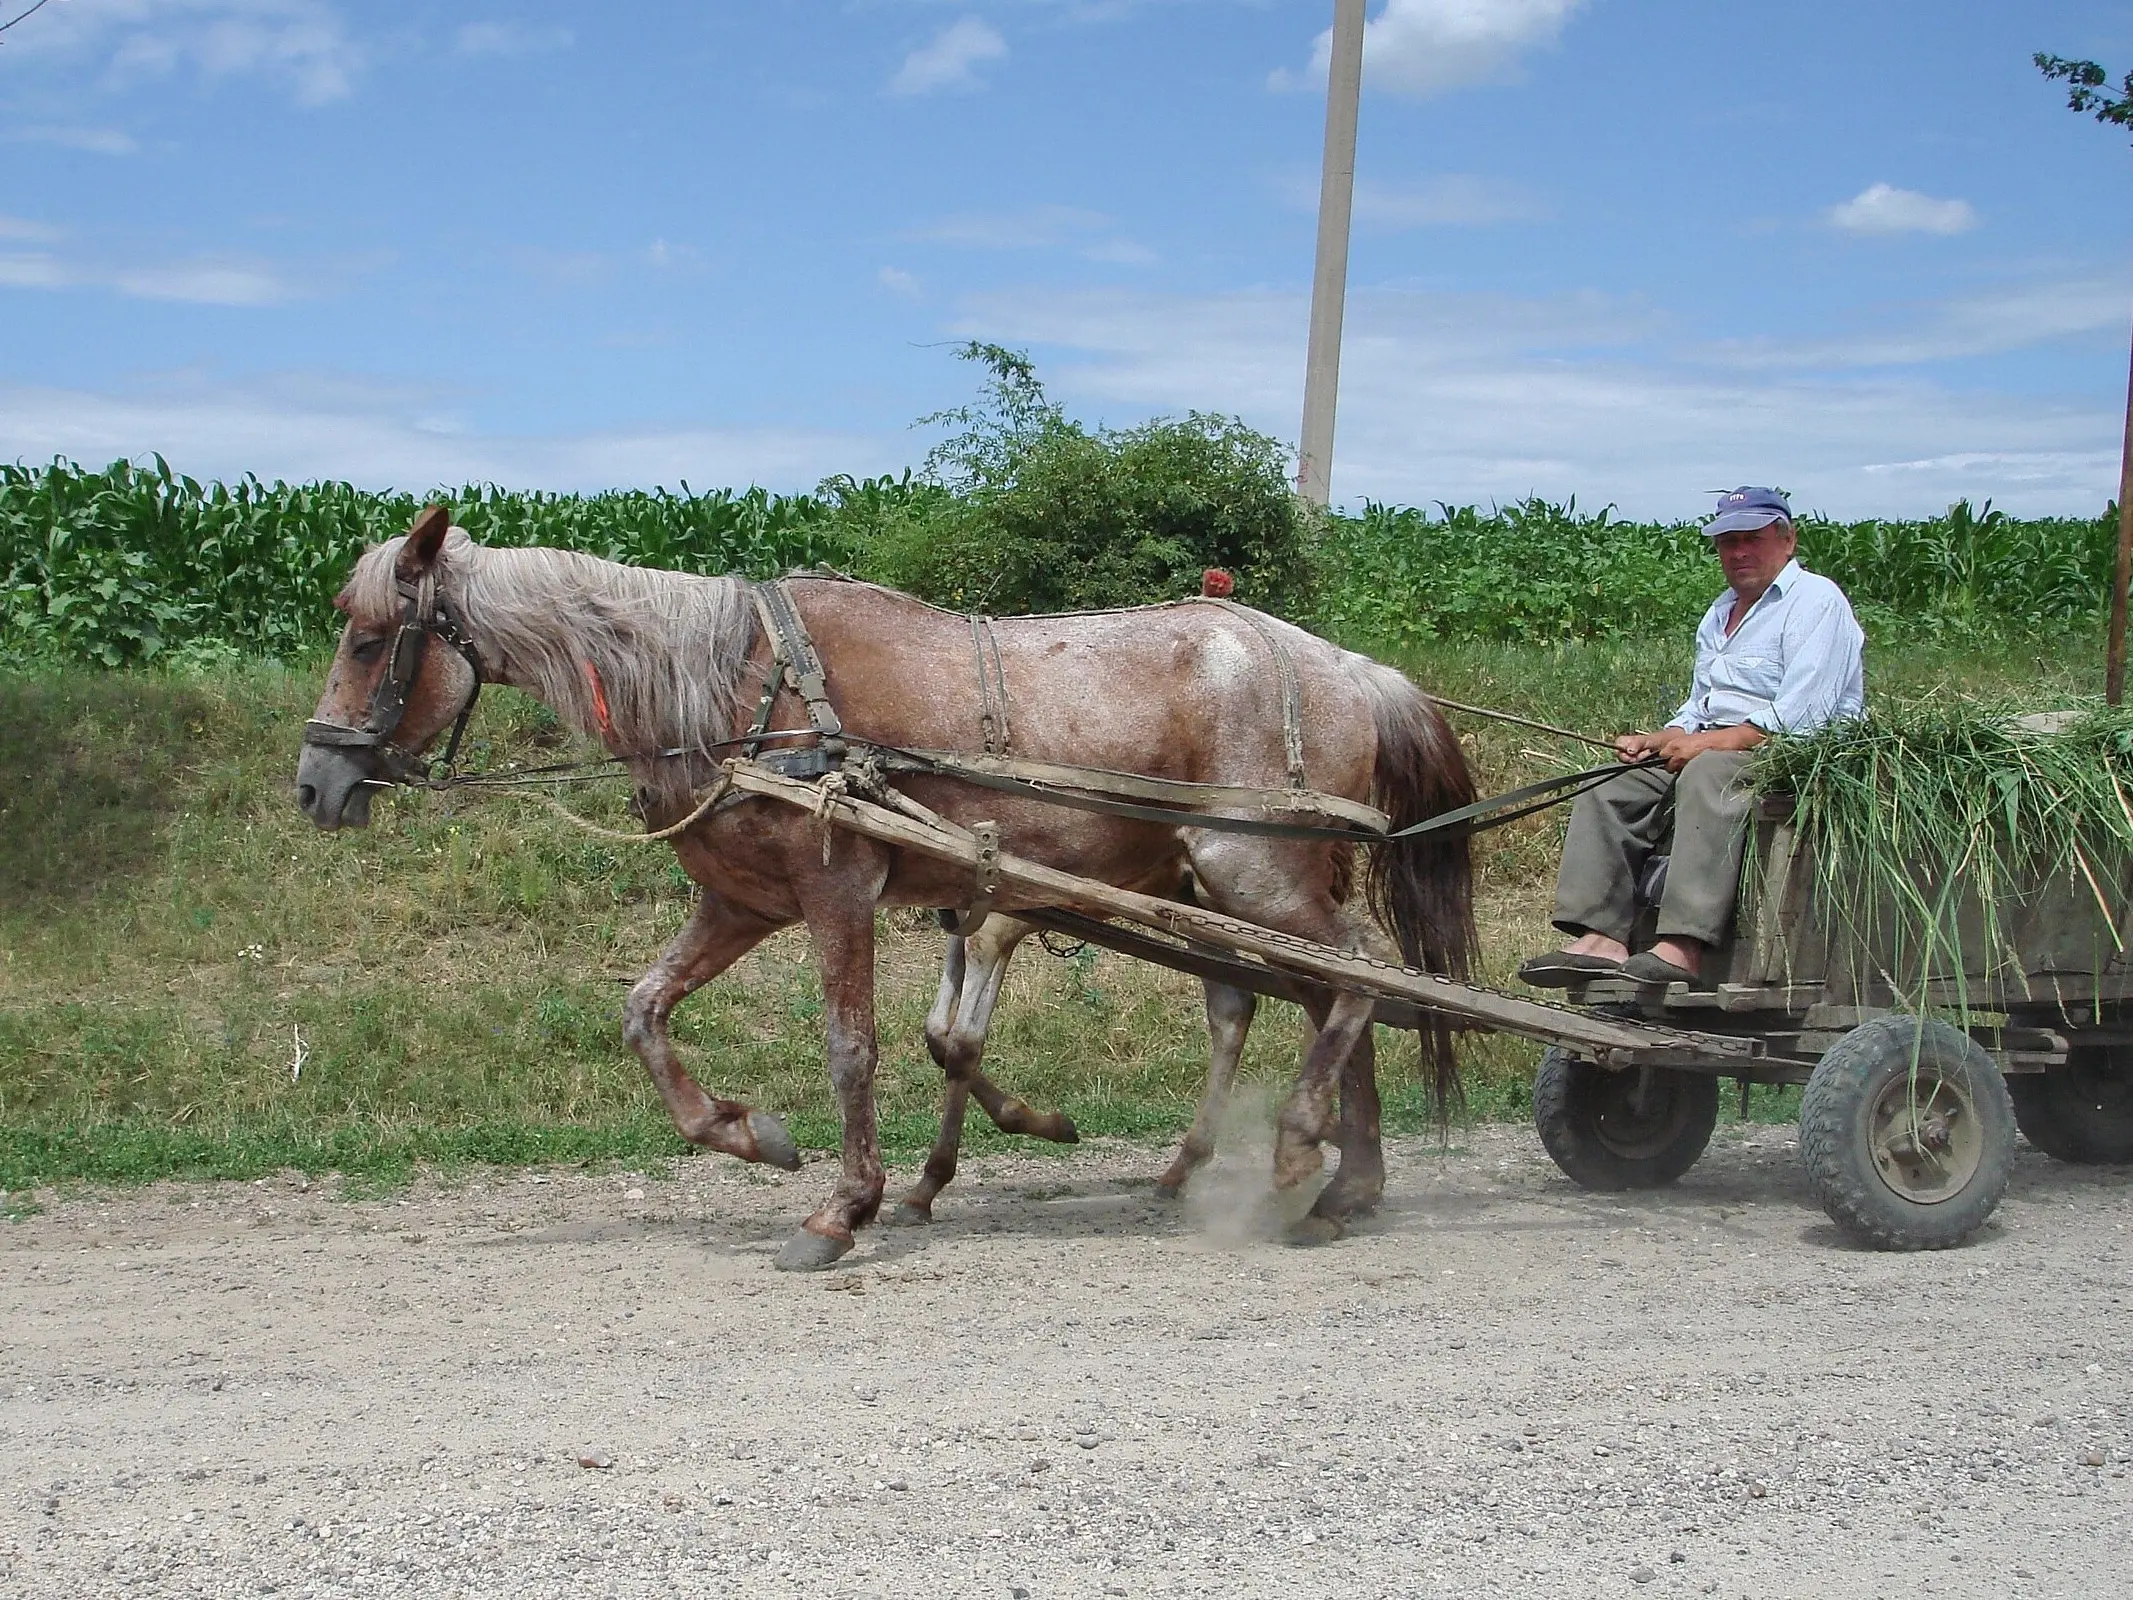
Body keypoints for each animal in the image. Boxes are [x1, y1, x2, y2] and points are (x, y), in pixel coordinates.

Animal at [294, 509, 1477, 1270]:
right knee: (1325, 996)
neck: (743, 686)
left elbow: (850, 1046)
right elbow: (641, 1011)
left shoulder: (839, 889)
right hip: (1239, 886)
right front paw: (747, 1133)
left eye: (369, 639)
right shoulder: (742, 902)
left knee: (1360, 976)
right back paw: (1345, 1185)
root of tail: (1352, 668)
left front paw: (842, 1207)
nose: (314, 782)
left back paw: (1300, 1150)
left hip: (1252, 869)